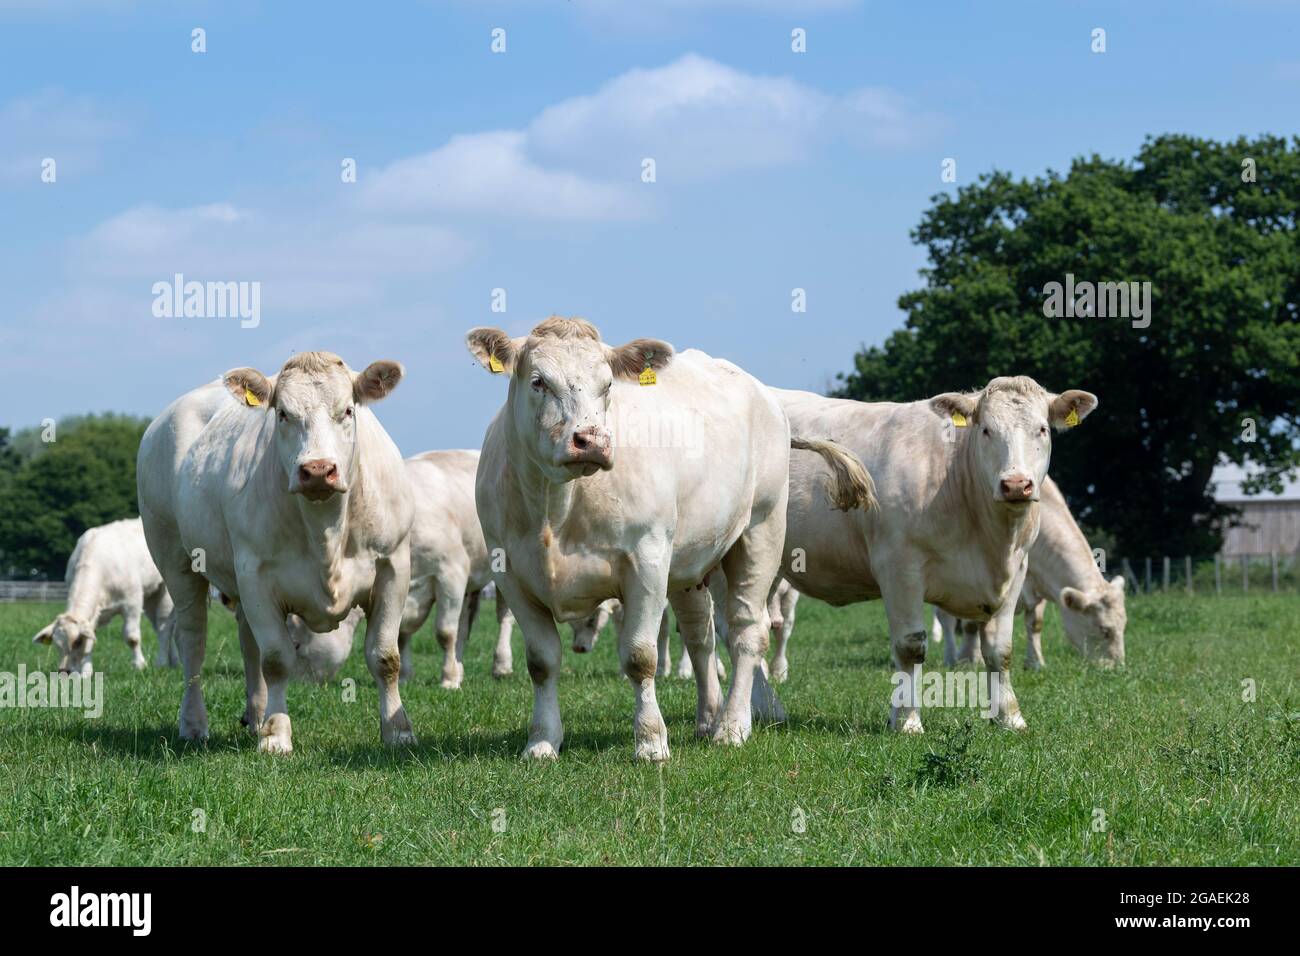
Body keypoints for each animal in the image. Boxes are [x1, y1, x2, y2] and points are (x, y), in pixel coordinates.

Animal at [32, 517, 175, 675]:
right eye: (56, 644)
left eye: (77, 642)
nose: (64, 671)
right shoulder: (93, 614)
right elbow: (90, 642)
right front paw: (86, 673)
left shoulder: (132, 602)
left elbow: (132, 638)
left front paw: (140, 666)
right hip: (151, 595)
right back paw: (173, 661)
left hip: (166, 591)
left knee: (164, 626)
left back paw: (162, 663)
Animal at [137, 352, 415, 753]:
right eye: (282, 413)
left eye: (348, 410)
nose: (318, 469)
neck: (325, 529)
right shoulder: (256, 575)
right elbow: (276, 659)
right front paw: (276, 735)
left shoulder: (394, 568)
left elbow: (385, 657)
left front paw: (398, 732)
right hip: (175, 560)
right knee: (192, 641)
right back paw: (193, 723)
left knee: (247, 642)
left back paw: (255, 715)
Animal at [467, 316, 873, 761]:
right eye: (539, 381)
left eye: (608, 385)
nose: (592, 441)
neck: (556, 509)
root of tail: (768, 398)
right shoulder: (510, 574)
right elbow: (542, 661)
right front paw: (541, 742)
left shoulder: (646, 560)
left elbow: (639, 657)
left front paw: (650, 742)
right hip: (690, 563)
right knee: (700, 637)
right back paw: (708, 718)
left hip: (760, 531)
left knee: (748, 631)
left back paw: (732, 726)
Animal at [775, 376, 1097, 733]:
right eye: (985, 429)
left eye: (1041, 429)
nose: (1015, 485)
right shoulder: (899, 566)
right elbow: (910, 646)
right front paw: (907, 720)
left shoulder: (1017, 570)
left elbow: (1001, 650)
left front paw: (1010, 717)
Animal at [936, 475, 1127, 669]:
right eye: (1105, 630)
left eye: (1124, 625)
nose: (1118, 667)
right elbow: (971, 623)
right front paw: (970, 660)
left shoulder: (1038, 581)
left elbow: (1035, 623)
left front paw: (1035, 663)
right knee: (945, 618)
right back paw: (951, 657)